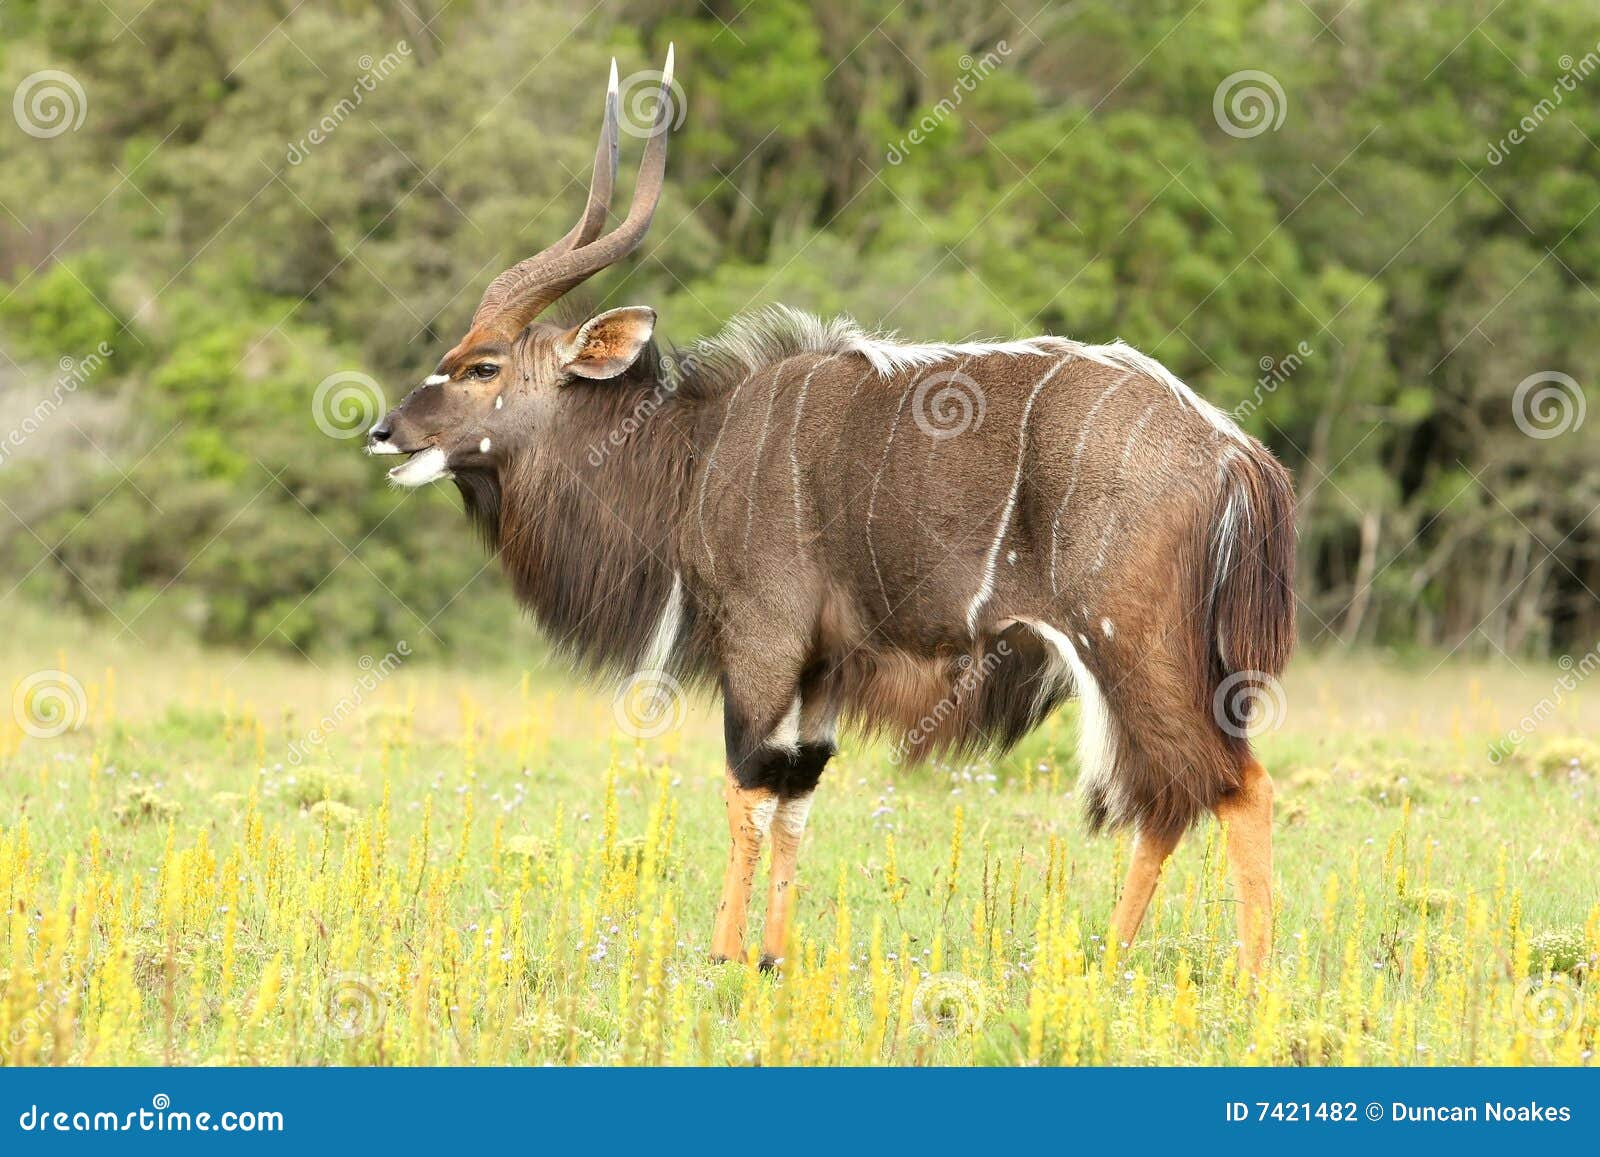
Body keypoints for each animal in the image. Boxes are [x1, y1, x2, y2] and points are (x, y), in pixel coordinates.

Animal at [366, 50, 1296, 974]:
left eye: (482, 367)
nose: (384, 431)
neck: (693, 451)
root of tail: (1233, 452)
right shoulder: (824, 666)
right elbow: (797, 793)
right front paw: (773, 957)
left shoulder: (763, 641)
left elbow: (747, 786)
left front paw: (724, 958)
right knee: (1174, 798)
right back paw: (1105, 964)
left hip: (1132, 646)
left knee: (1232, 785)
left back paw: (1247, 983)